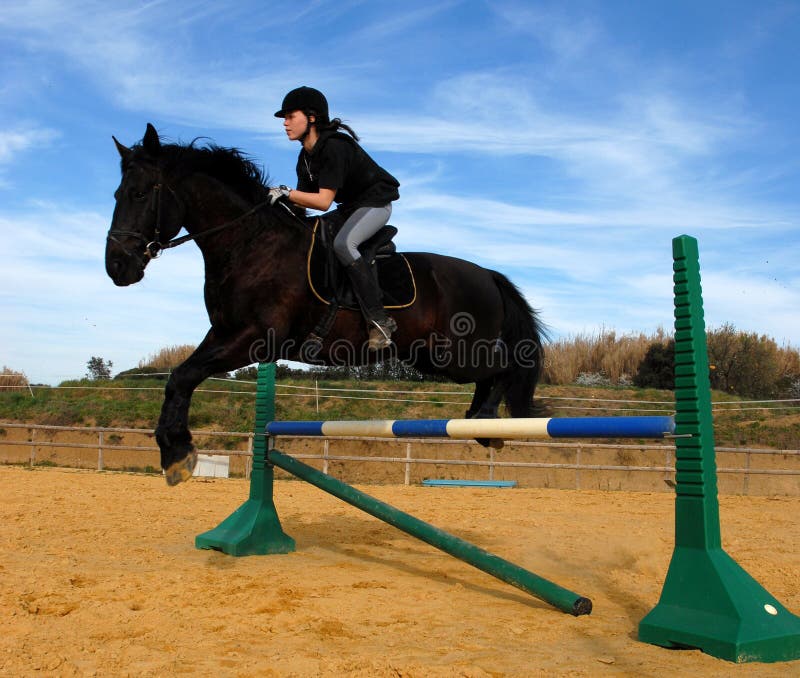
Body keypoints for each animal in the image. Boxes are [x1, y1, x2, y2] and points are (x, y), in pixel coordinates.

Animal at [106, 123, 547, 485]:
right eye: (117, 194)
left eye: (139, 193)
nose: (117, 267)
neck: (249, 243)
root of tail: (487, 273)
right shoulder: (224, 332)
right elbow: (179, 376)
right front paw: (173, 452)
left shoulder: (254, 338)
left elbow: (183, 376)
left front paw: (177, 452)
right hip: (431, 358)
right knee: (491, 374)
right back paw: (479, 425)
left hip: (452, 353)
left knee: (503, 367)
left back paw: (485, 422)